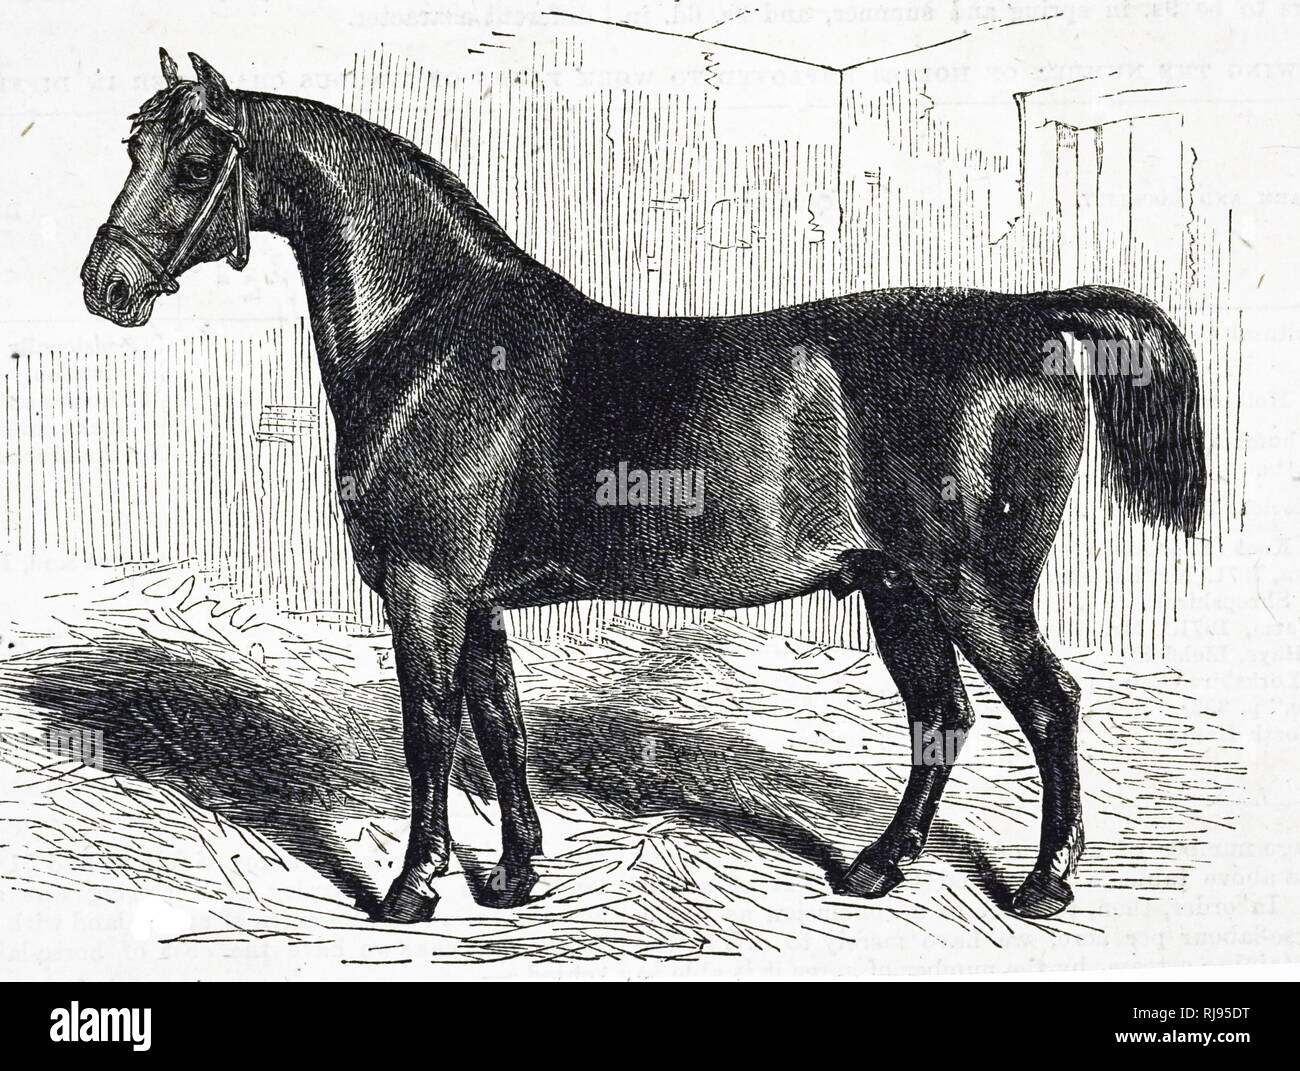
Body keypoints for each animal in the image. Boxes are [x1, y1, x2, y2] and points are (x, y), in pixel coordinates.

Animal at [81, 51, 1205, 923]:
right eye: (131, 149)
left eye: (194, 162)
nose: (106, 286)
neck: (434, 332)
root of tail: (1031, 317)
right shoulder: (474, 601)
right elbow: (500, 725)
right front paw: (515, 876)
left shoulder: (424, 589)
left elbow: (430, 730)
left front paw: (412, 887)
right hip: (899, 591)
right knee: (943, 718)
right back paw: (877, 868)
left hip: (974, 591)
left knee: (1049, 707)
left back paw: (1043, 884)